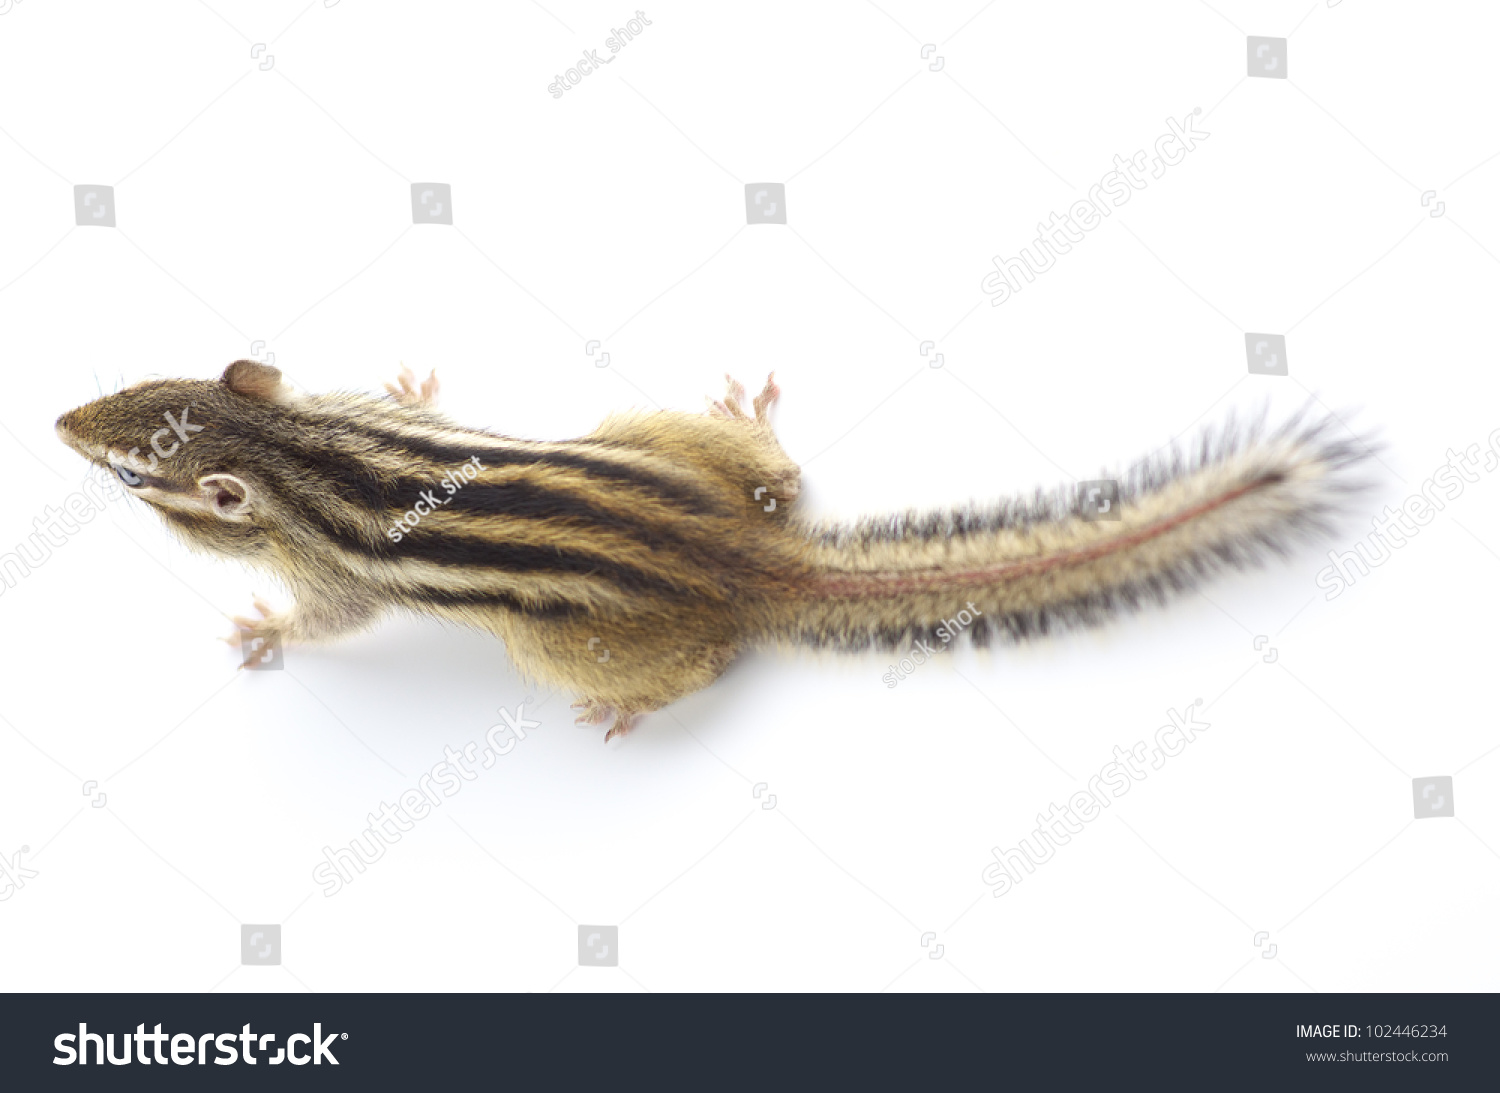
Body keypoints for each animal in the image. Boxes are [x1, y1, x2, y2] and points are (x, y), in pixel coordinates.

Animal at [55, 361, 1369, 741]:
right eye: (148, 379)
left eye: (130, 475)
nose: (59, 422)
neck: (292, 446)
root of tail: (742, 559)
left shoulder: (333, 575)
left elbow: (325, 622)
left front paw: (260, 628)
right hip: (660, 441)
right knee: (771, 478)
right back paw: (754, 434)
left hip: (560, 647)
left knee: (707, 664)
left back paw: (631, 706)